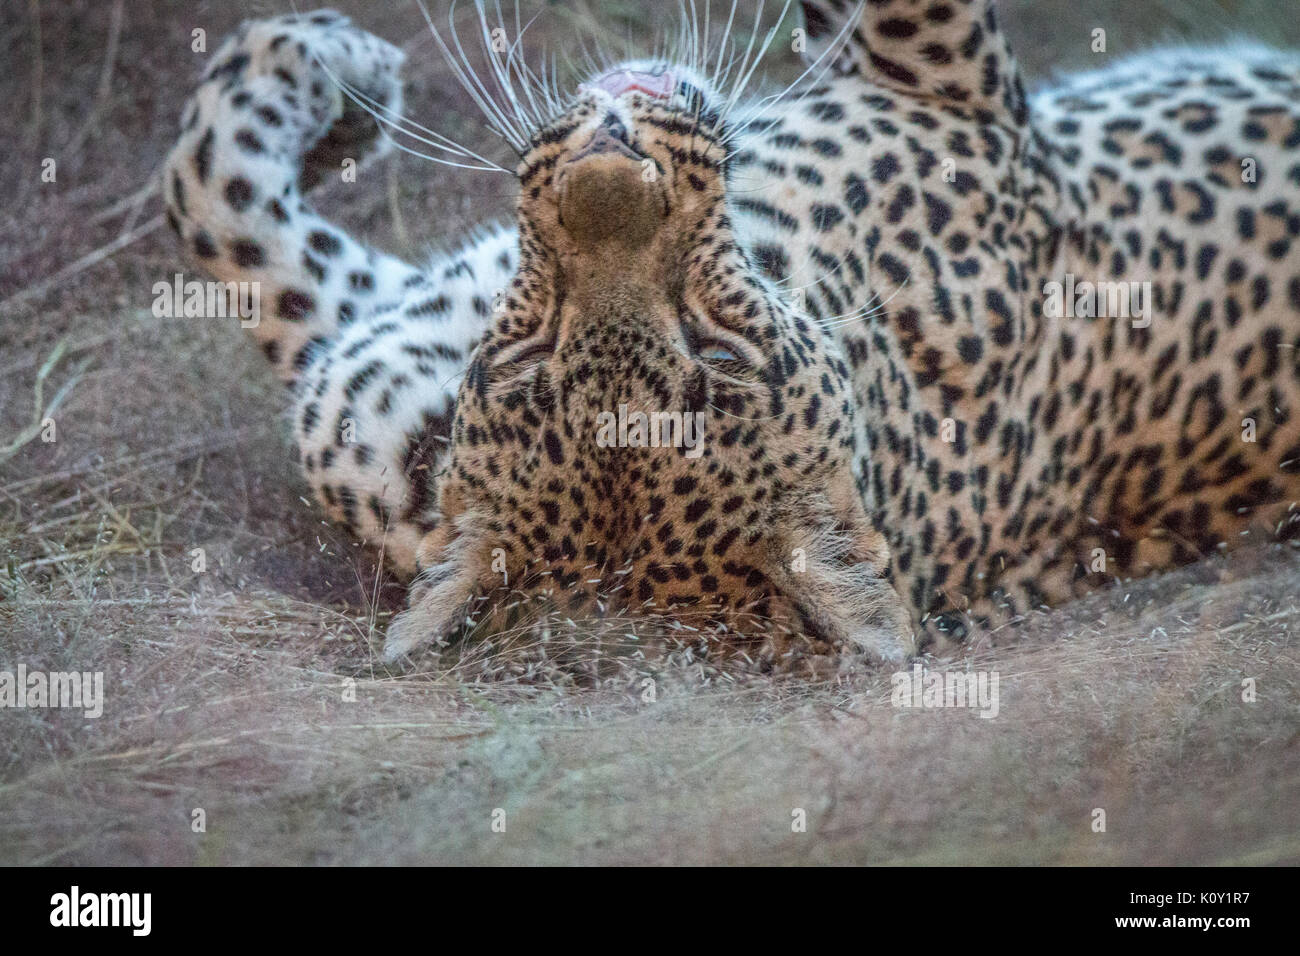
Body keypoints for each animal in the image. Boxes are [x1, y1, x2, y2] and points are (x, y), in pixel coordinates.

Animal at [161, 1, 1300, 665]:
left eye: (717, 353)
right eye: (536, 355)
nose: (609, 159)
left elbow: (214, 200)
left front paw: (332, 76)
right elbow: (211, 195)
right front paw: (333, 74)